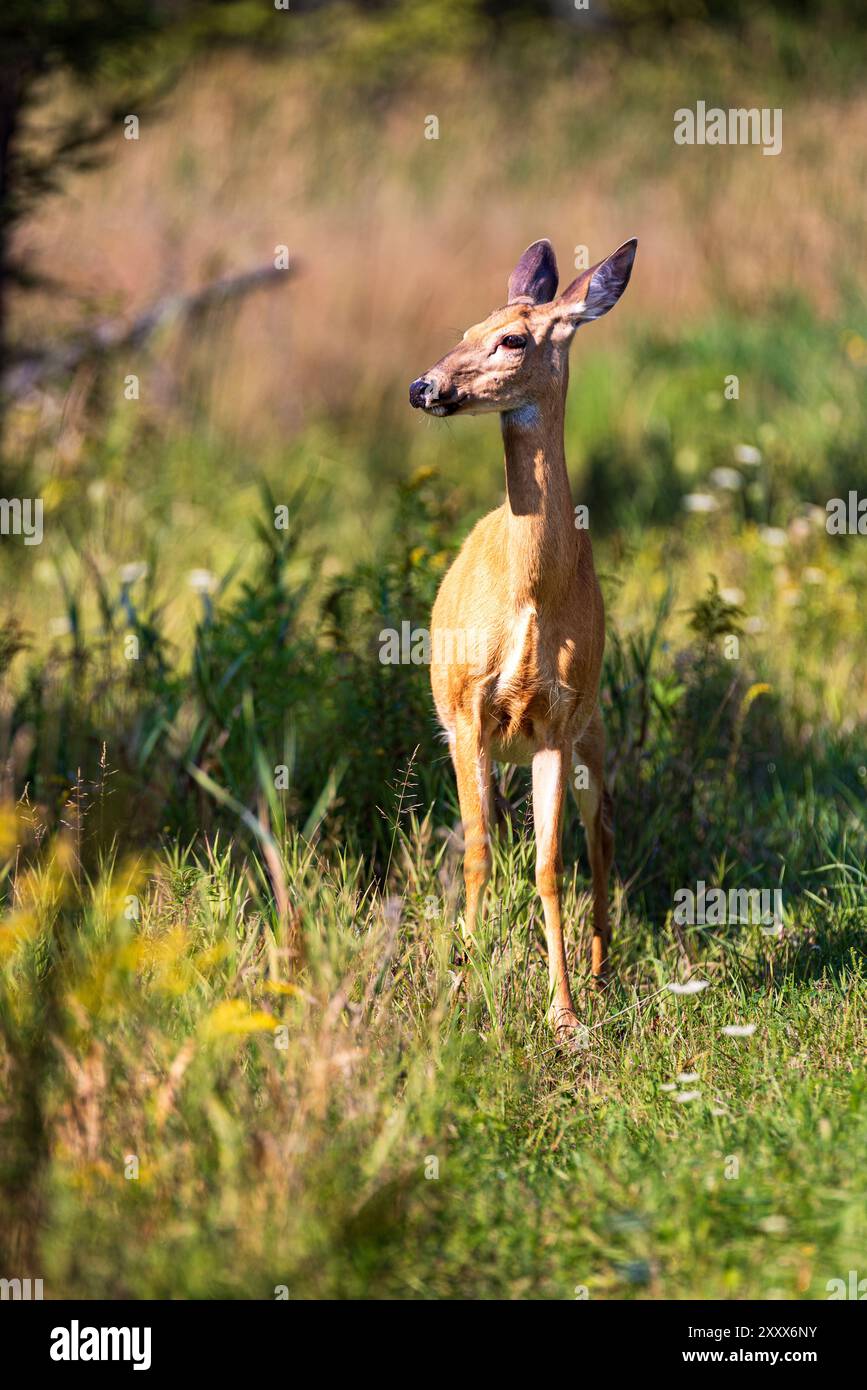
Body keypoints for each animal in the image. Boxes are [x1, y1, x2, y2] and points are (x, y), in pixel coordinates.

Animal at [408, 235, 637, 1034]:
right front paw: (458, 987)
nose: (422, 386)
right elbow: (478, 853)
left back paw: (600, 974)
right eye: (467, 327)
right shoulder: (466, 714)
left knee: (602, 832)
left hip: (595, 725)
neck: (529, 596)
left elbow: (547, 866)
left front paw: (564, 1014)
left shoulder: (556, 721)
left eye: (512, 338)